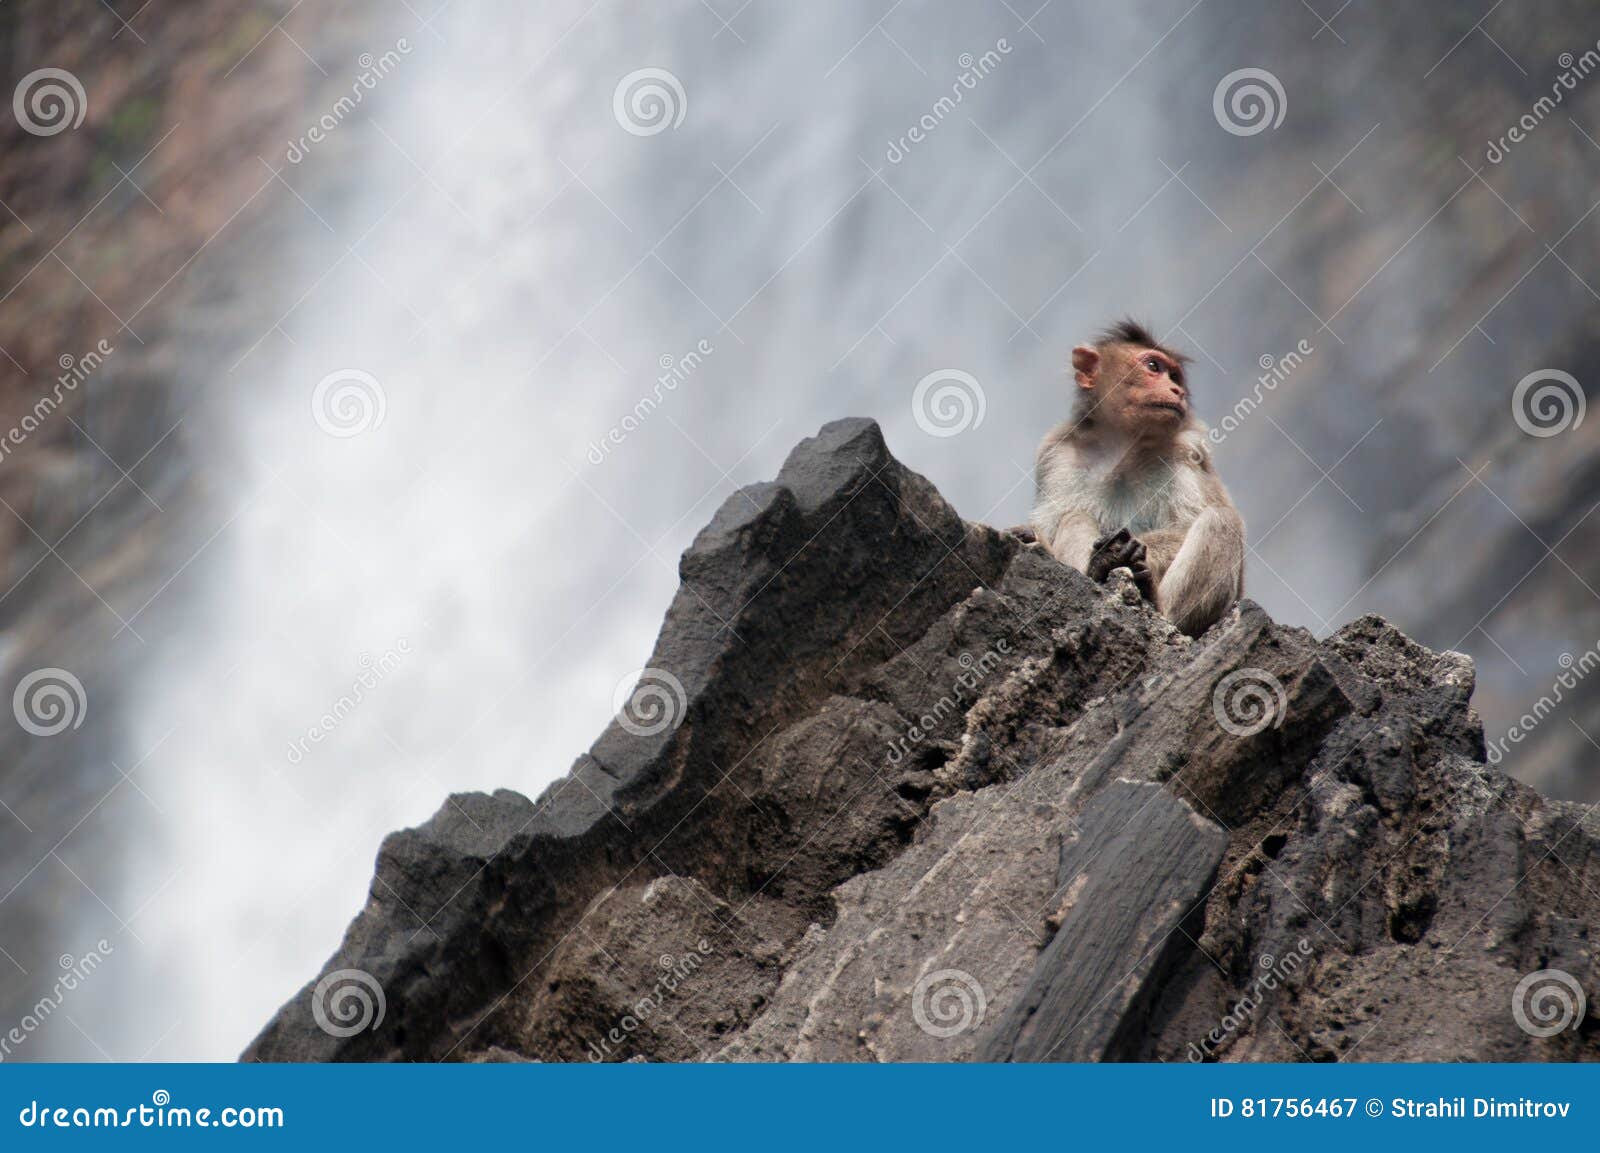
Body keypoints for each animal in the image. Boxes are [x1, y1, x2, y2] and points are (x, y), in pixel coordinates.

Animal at [1027, 319, 1244, 636]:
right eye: (1153, 366)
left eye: (1175, 376)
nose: (1176, 390)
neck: (1122, 449)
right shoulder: (1056, 455)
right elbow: (1052, 526)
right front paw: (1036, 540)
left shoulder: (1187, 451)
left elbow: (1183, 527)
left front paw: (1123, 551)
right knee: (1074, 516)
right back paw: (1102, 566)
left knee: (1221, 519)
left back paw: (1153, 600)